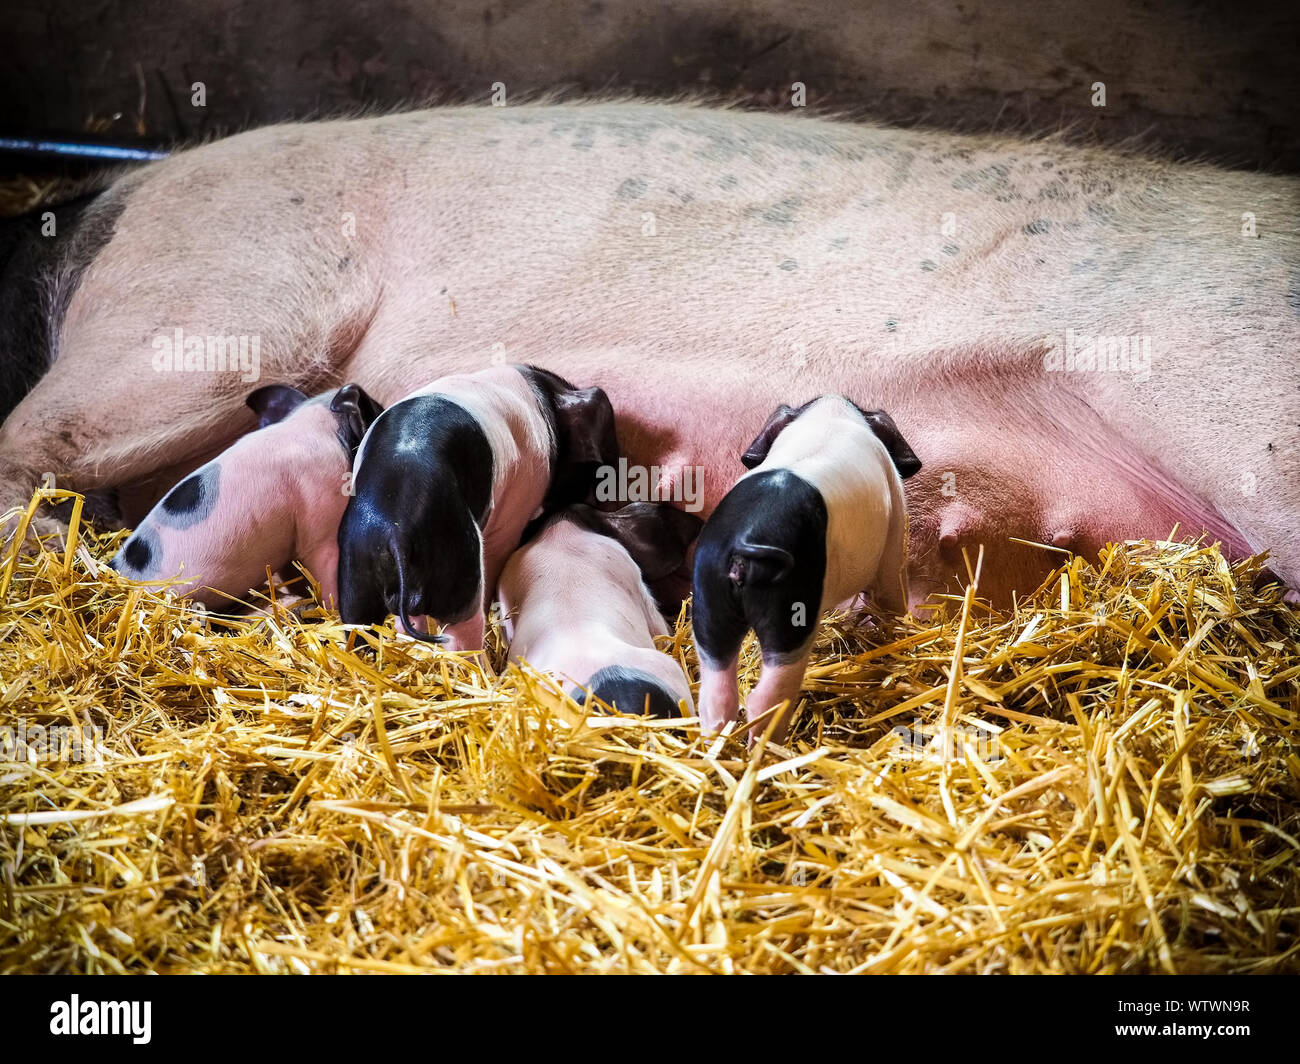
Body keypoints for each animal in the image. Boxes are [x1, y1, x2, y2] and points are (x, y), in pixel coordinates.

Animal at [337, 364, 616, 651]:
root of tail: (396, 532)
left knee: (363, 630)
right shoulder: (513, 517)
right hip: (460, 577)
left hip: (355, 578)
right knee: (462, 636)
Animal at [693, 397, 922, 744]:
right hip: (790, 619)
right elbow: (891, 599)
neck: (830, 414)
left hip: (709, 606)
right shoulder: (895, 534)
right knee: (766, 700)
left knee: (717, 699)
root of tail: (746, 542)